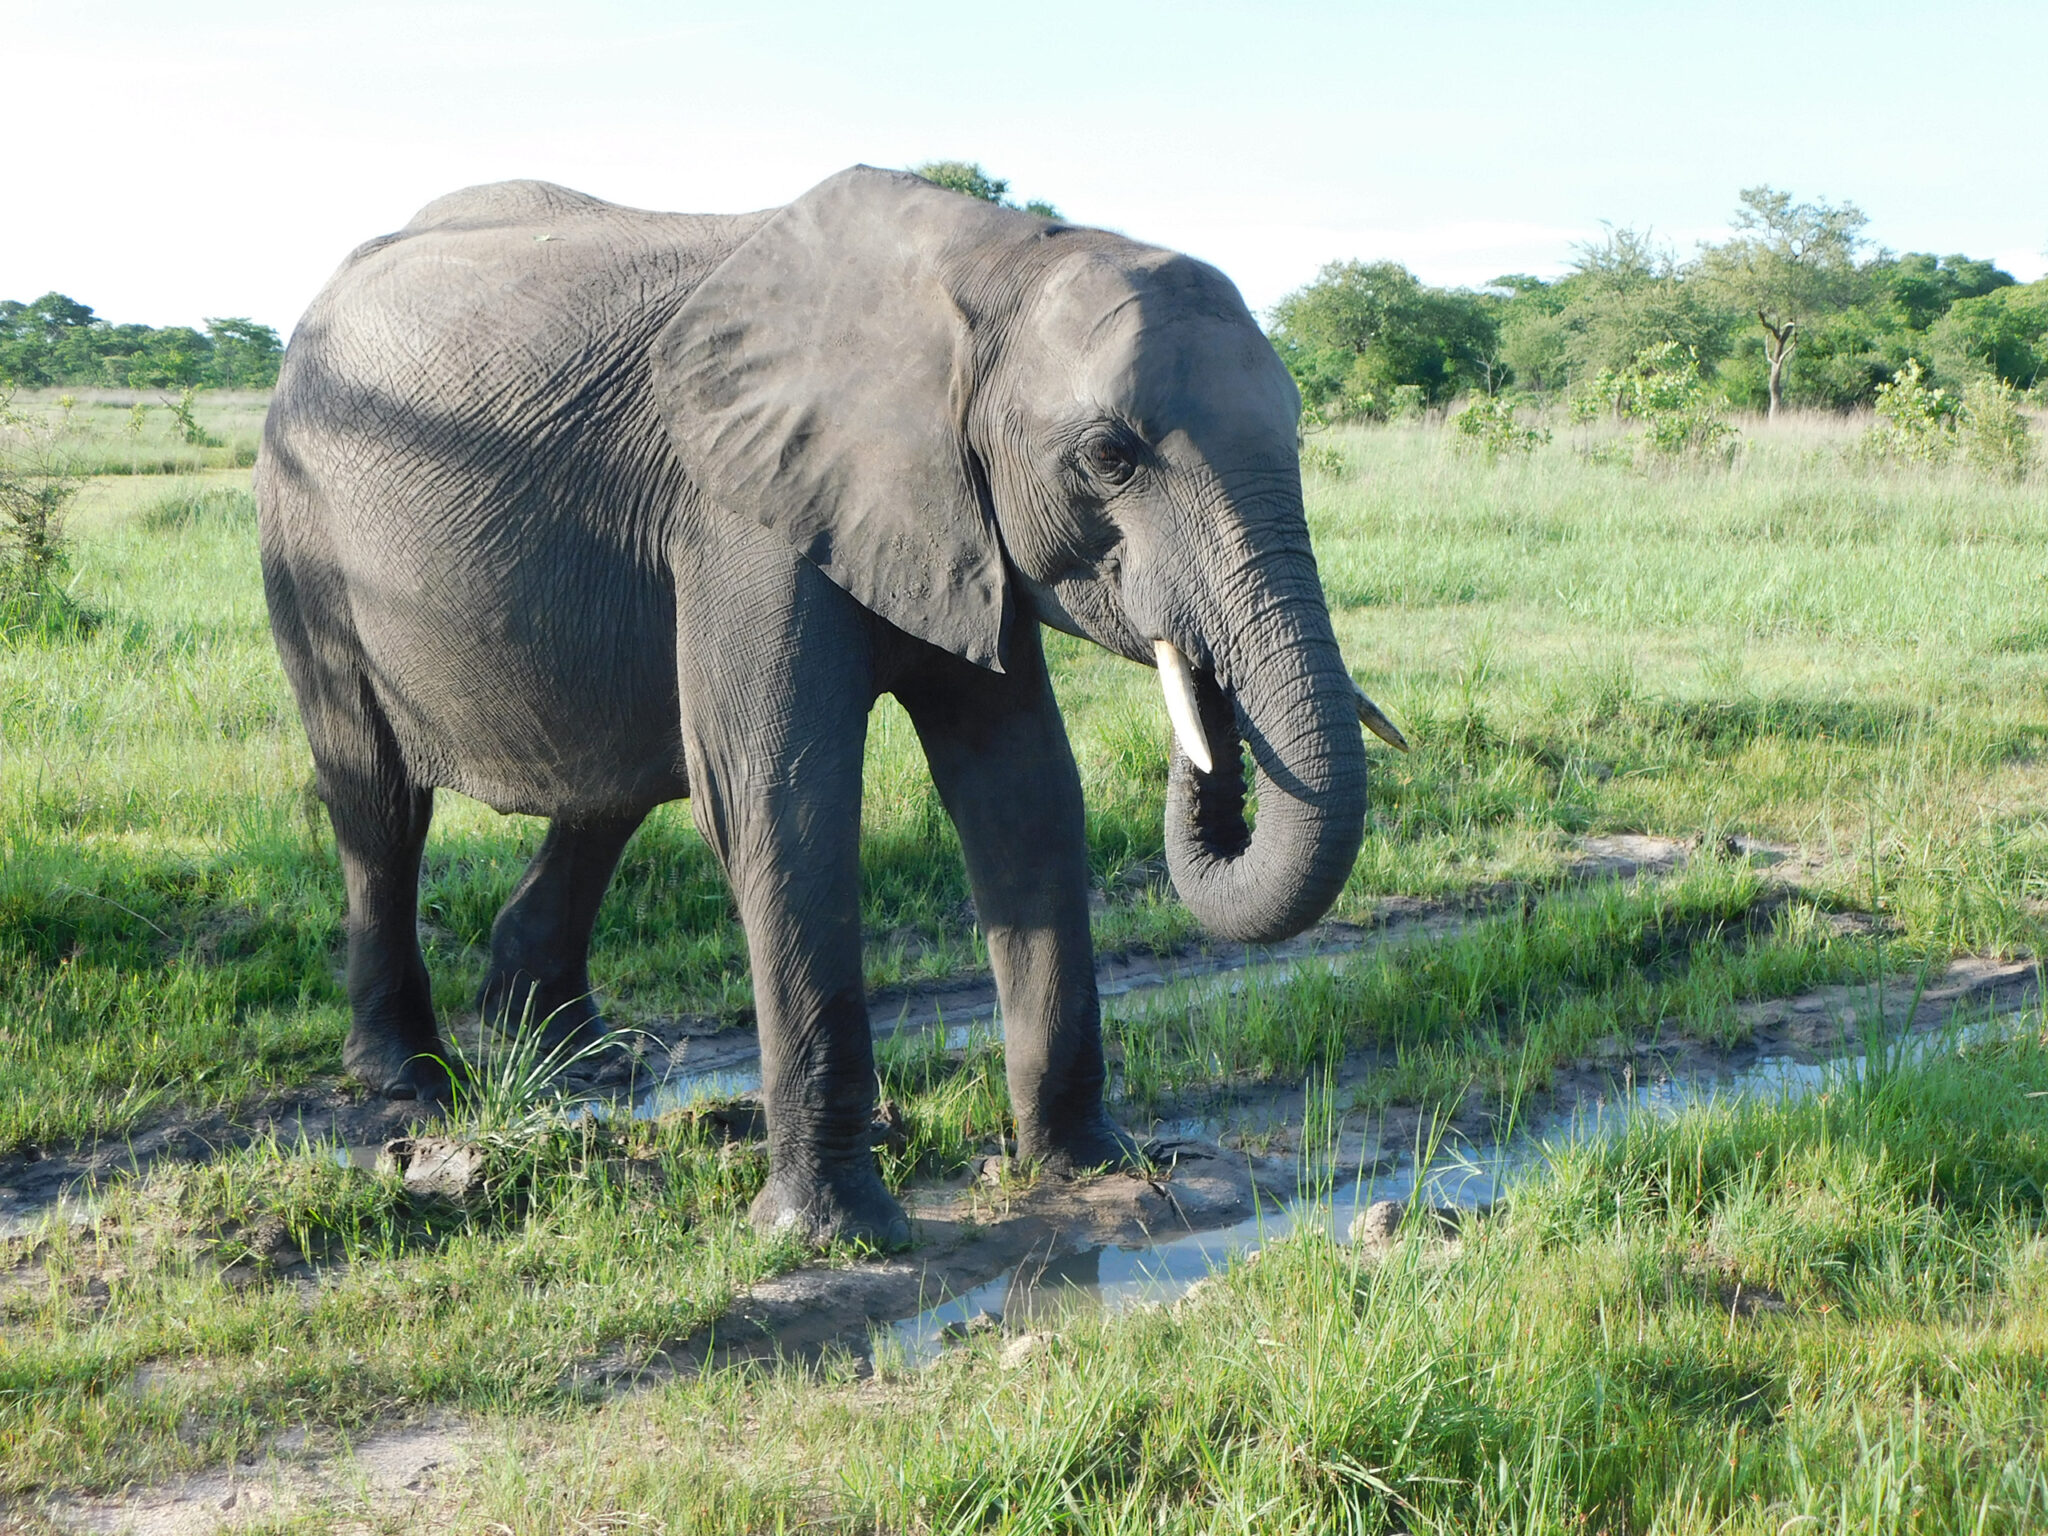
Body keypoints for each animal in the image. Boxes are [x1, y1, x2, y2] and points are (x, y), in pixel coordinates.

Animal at [256, 165, 1401, 1248]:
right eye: (1110, 458)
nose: (1204, 709)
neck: (986, 271)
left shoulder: (952, 518)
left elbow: (1023, 789)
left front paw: (1089, 1166)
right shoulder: (744, 512)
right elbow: (777, 796)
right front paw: (834, 1233)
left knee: (613, 783)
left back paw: (577, 1055)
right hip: (302, 531)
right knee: (379, 801)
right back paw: (410, 1078)